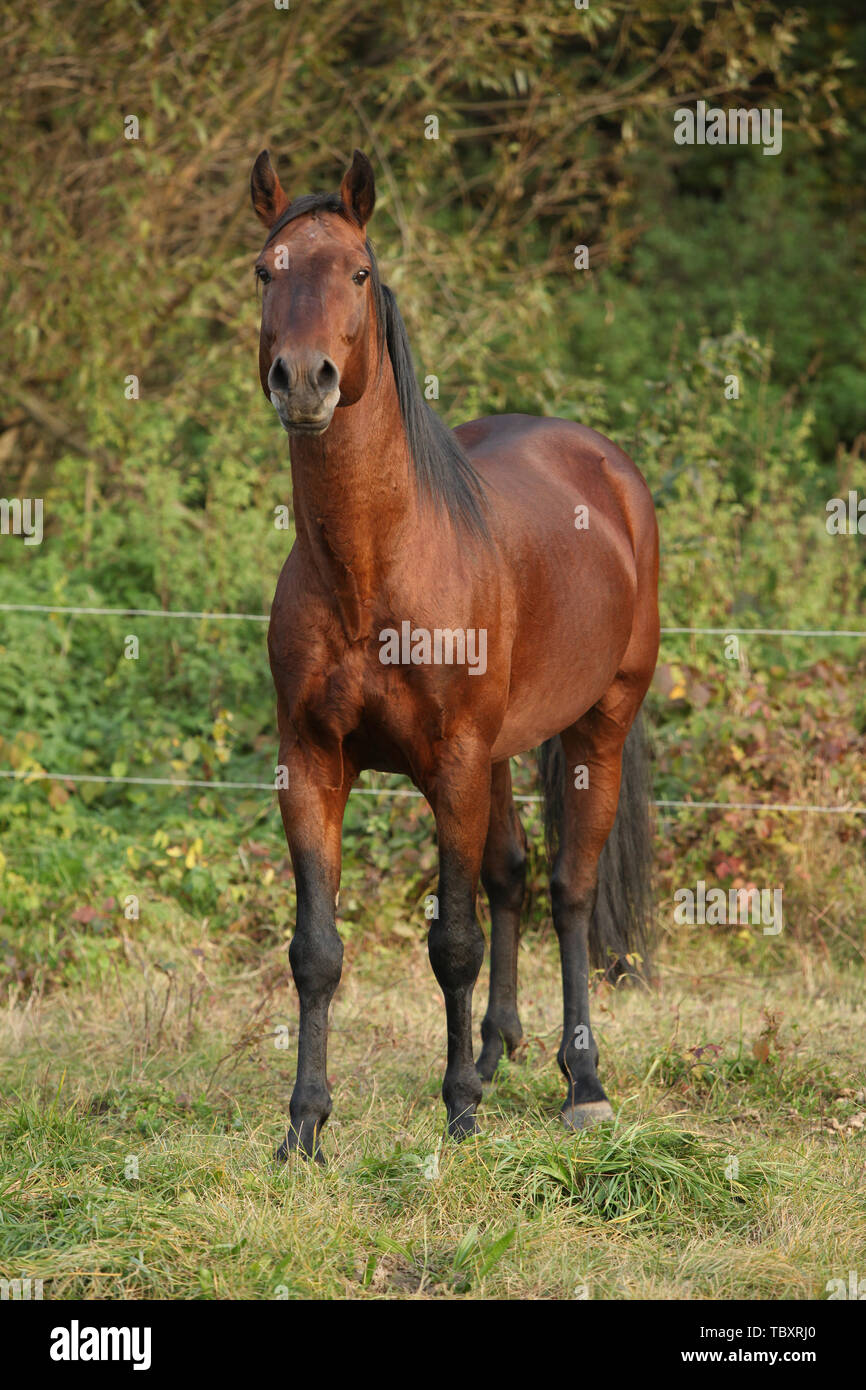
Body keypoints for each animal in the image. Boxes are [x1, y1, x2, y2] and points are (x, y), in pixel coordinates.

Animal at [250, 148, 659, 1161]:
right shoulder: (310, 764)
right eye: (265, 271)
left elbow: (454, 944)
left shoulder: (454, 764)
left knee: (567, 890)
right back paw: (494, 1051)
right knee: (513, 877)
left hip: (599, 724)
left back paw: (581, 1083)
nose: (303, 381)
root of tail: (607, 466)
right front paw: (305, 1128)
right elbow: (316, 952)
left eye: (359, 272)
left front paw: (460, 1115)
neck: (371, 570)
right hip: (505, 752)